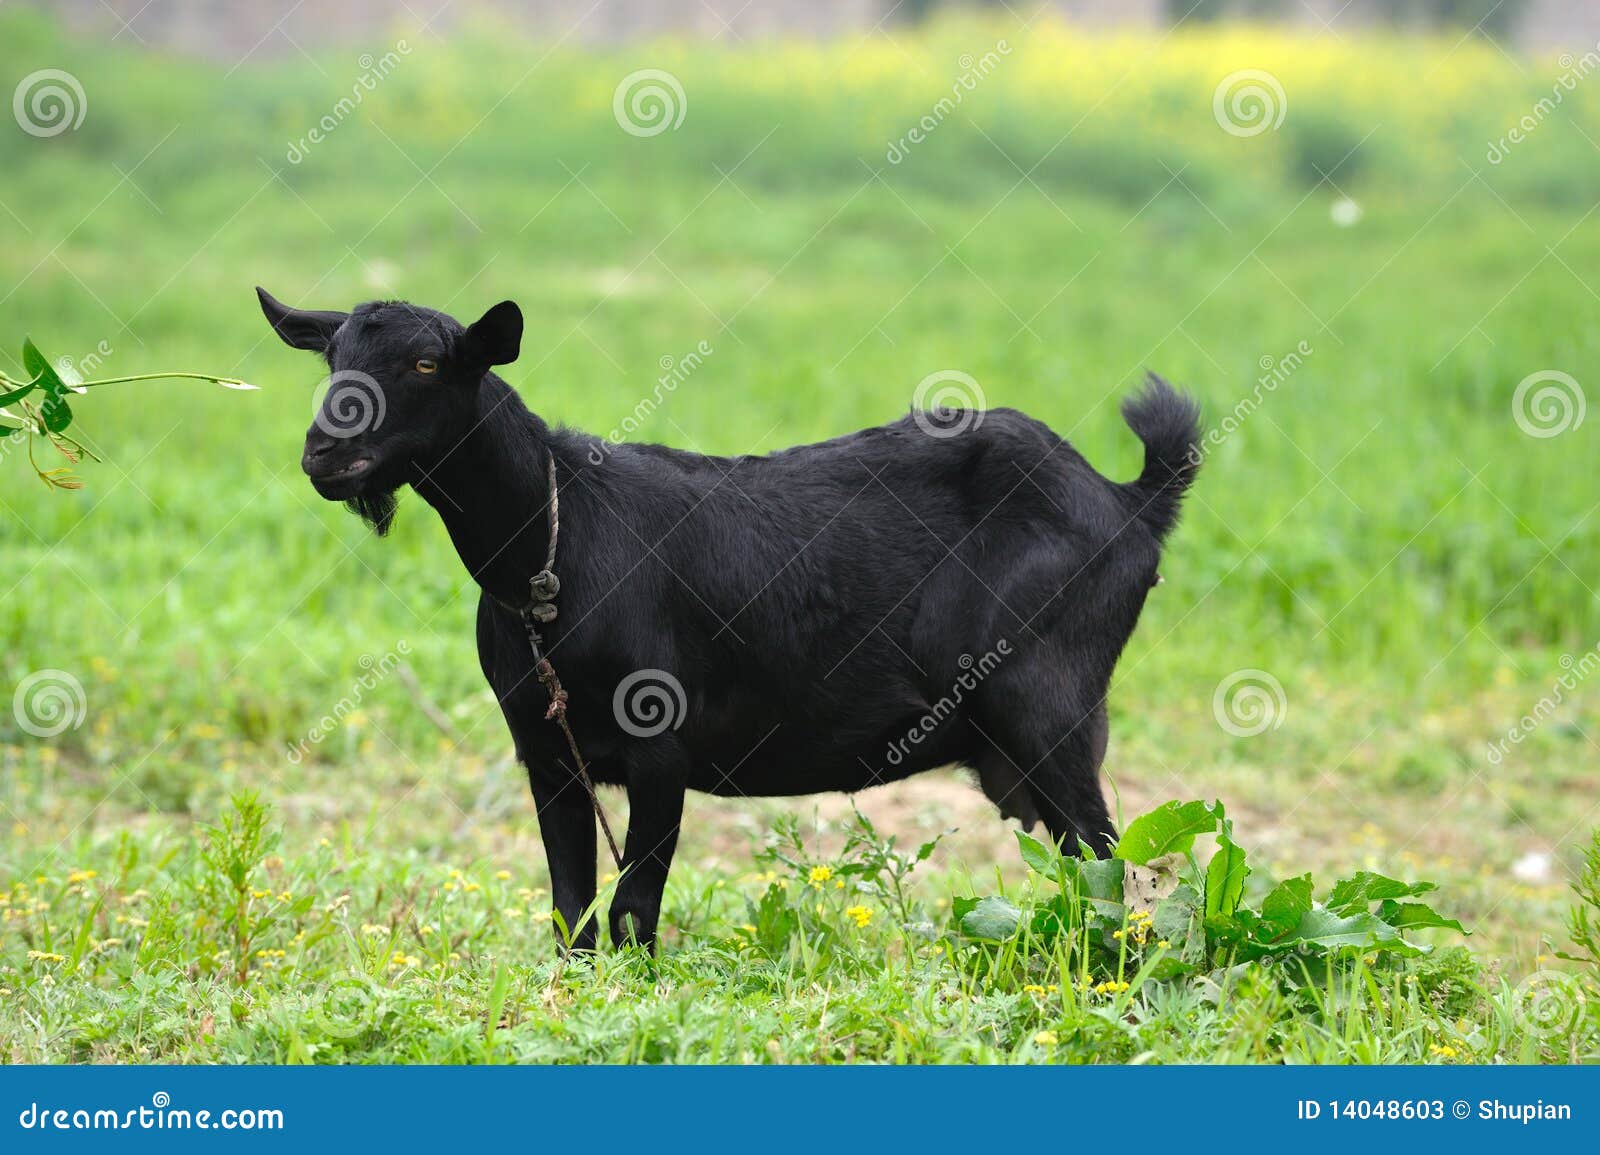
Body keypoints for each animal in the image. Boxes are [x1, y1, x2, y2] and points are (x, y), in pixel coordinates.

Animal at [257, 288, 1203, 951]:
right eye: (332, 355)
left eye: (425, 365)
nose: (324, 452)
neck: (553, 545)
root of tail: (1131, 502)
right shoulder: (546, 748)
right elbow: (572, 907)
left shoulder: (661, 740)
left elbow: (635, 906)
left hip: (1047, 703)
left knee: (1114, 866)